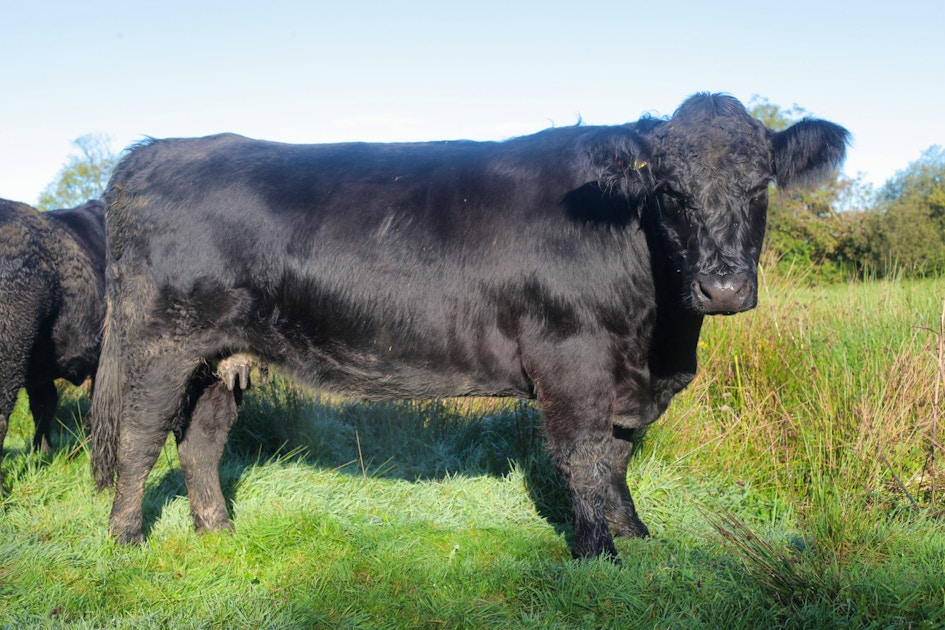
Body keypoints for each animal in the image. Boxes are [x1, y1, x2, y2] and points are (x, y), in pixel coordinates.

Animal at [90, 93, 848, 559]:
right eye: (669, 191)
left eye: (760, 185)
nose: (722, 286)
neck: (658, 341)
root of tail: (154, 150)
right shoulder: (571, 359)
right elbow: (582, 457)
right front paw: (596, 553)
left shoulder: (626, 376)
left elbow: (618, 456)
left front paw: (635, 535)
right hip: (160, 342)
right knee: (139, 437)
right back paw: (125, 540)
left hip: (224, 354)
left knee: (200, 441)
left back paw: (218, 531)